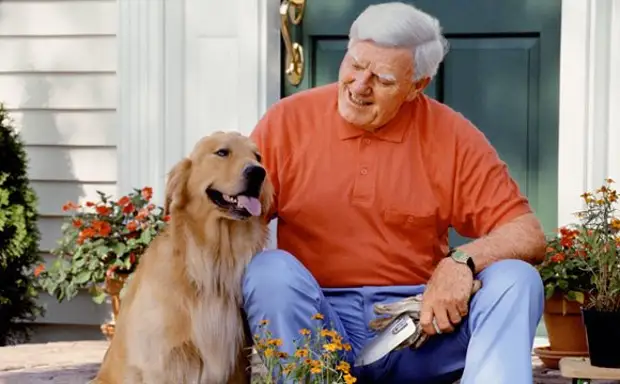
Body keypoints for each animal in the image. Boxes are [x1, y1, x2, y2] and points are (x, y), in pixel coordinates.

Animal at [95, 130, 274, 382]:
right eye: (222, 152)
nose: (258, 172)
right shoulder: (163, 359)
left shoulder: (237, 360)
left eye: (258, 156)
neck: (212, 263)